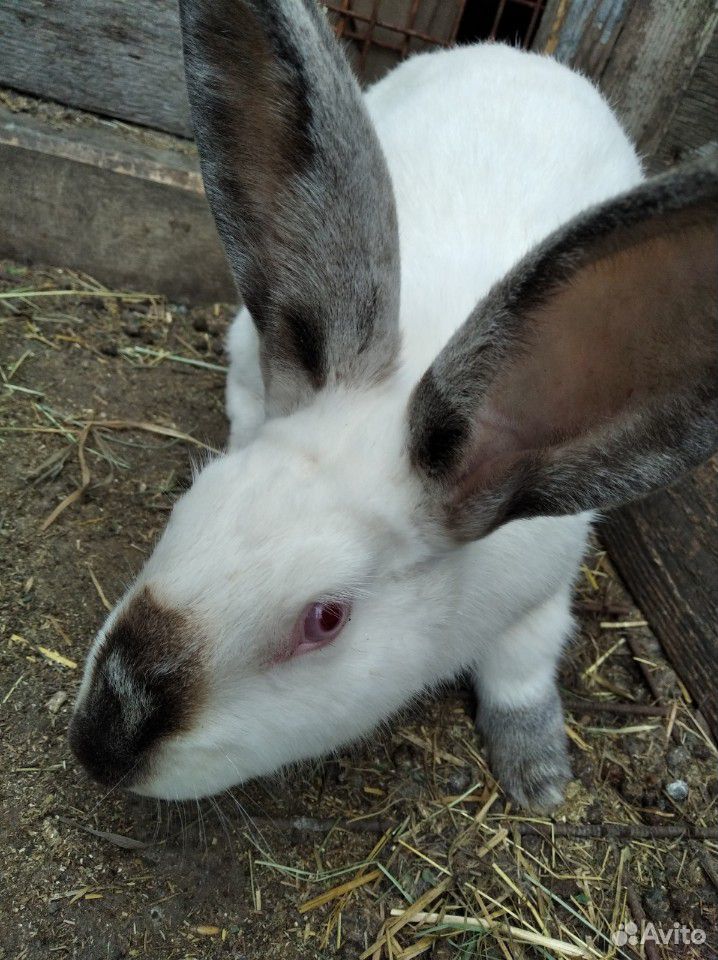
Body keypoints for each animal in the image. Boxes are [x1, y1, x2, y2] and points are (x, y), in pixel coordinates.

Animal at [69, 0, 718, 809]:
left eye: (325, 619)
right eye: (191, 504)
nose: (99, 741)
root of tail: (516, 53)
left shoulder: (544, 593)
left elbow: (522, 673)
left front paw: (540, 779)